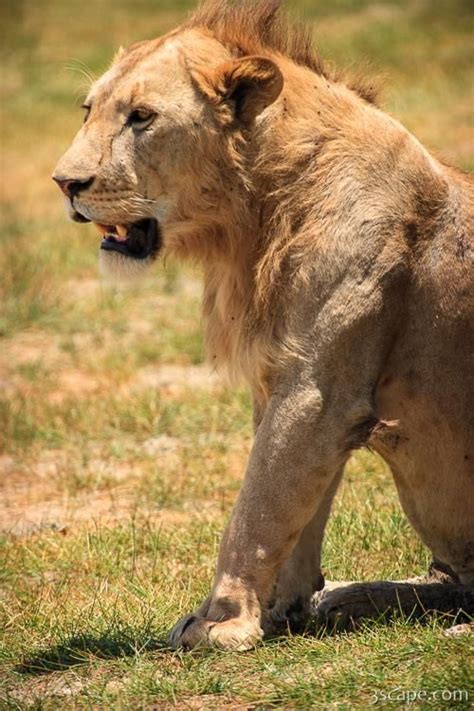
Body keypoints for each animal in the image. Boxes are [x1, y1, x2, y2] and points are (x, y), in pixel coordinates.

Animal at [53, 0, 474, 650]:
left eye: (142, 117)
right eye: (88, 110)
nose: (65, 183)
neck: (255, 214)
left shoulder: (314, 390)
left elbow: (256, 507)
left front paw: (220, 622)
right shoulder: (285, 384)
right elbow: (296, 505)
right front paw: (281, 609)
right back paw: (351, 597)